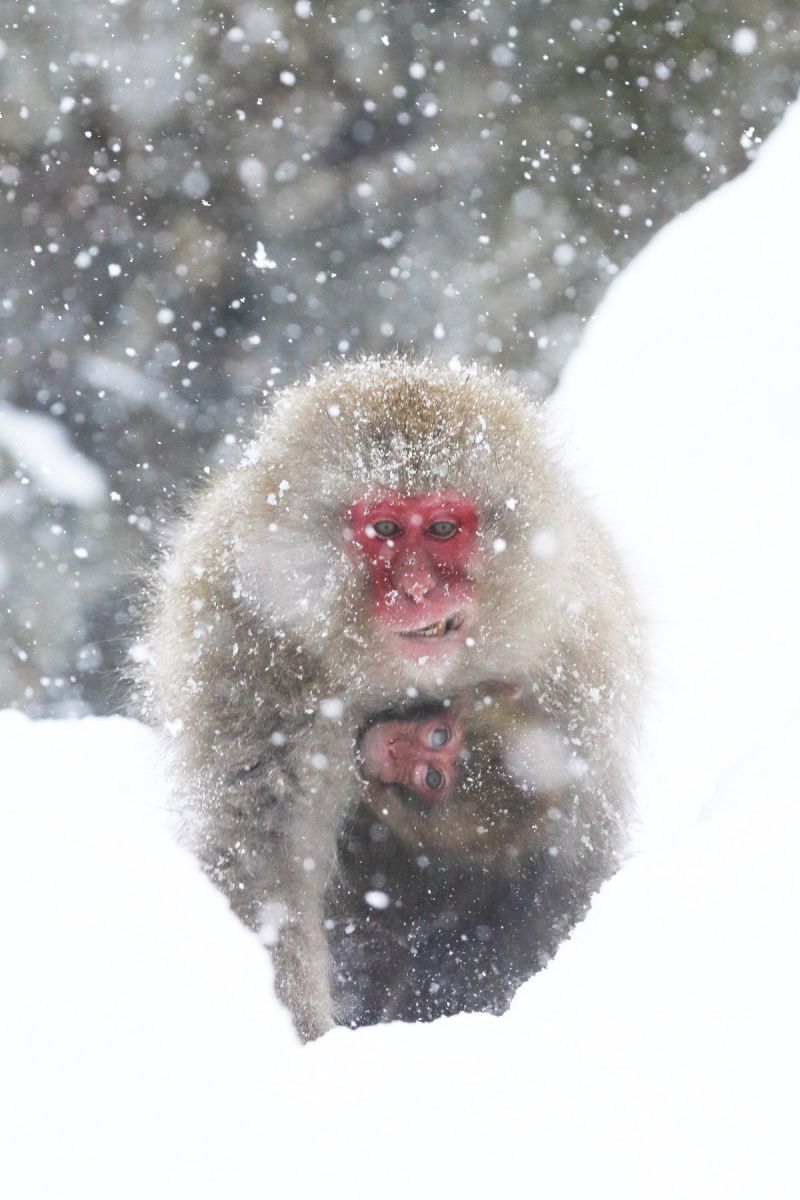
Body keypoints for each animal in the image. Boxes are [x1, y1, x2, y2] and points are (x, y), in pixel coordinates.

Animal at [141, 357, 641, 1039]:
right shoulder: (244, 652)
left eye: (442, 528)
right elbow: (262, 855)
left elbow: (563, 867)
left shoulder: (580, 665)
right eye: (384, 528)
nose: (416, 589)